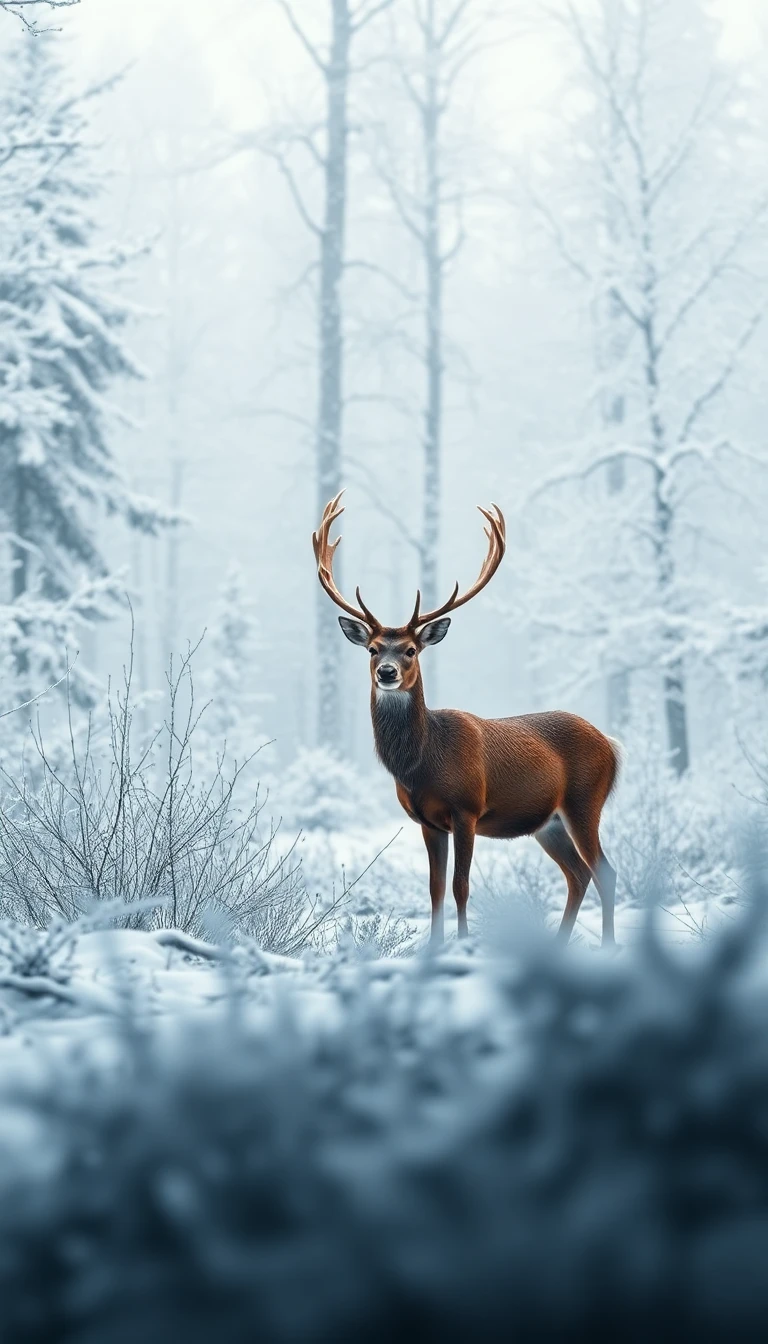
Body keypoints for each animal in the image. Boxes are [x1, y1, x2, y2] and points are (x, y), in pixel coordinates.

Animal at [313, 492, 621, 947]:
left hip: (585, 801)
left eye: (411, 650)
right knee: (579, 875)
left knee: (605, 872)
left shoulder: (467, 808)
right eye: (372, 649)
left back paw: (609, 945)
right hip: (548, 823)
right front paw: (435, 945)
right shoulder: (427, 820)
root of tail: (614, 747)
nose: (386, 672)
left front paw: (461, 943)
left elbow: (461, 885)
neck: (421, 764)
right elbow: (435, 886)